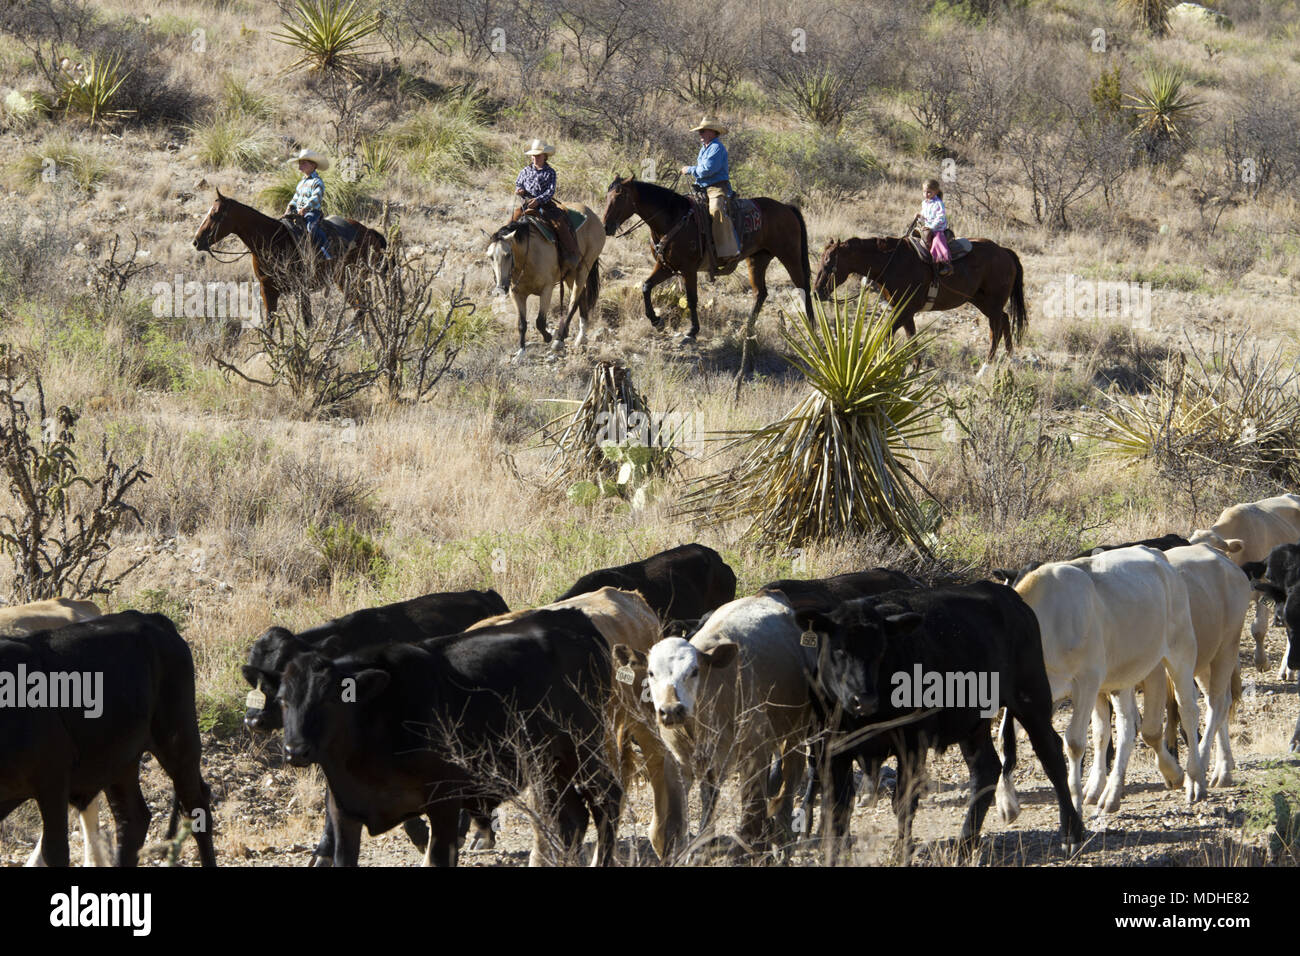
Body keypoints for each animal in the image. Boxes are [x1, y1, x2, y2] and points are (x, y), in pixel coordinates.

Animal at [0, 611, 217, 866]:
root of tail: (151, 618)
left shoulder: (52, 781)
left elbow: (55, 851)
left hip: (179, 744)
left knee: (197, 809)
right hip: (121, 761)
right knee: (132, 819)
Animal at [277, 607, 622, 867]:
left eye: (330, 699)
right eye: (283, 700)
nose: (296, 750)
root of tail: (572, 618)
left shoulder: (444, 802)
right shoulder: (344, 811)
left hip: (583, 746)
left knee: (608, 800)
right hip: (551, 764)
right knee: (572, 817)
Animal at [612, 593, 815, 855]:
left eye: (694, 671)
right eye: (651, 673)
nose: (671, 710)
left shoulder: (755, 753)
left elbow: (752, 821)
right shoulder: (678, 762)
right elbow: (671, 827)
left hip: (796, 730)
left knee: (790, 779)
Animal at [794, 582, 1083, 864]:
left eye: (881, 650)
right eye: (838, 650)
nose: (863, 700)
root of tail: (1009, 596)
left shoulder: (911, 744)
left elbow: (903, 801)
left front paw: (902, 853)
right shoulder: (831, 749)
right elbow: (838, 807)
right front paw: (836, 856)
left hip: (1031, 698)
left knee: (1051, 756)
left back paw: (1071, 833)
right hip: (974, 723)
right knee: (986, 768)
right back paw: (965, 845)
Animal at [1010, 546, 1206, 816]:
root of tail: (1156, 553)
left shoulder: (1087, 681)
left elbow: (1074, 742)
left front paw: (1074, 801)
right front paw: (1006, 804)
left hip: (1181, 650)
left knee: (1187, 710)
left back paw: (1194, 779)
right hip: (1125, 674)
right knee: (1127, 727)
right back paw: (1113, 794)